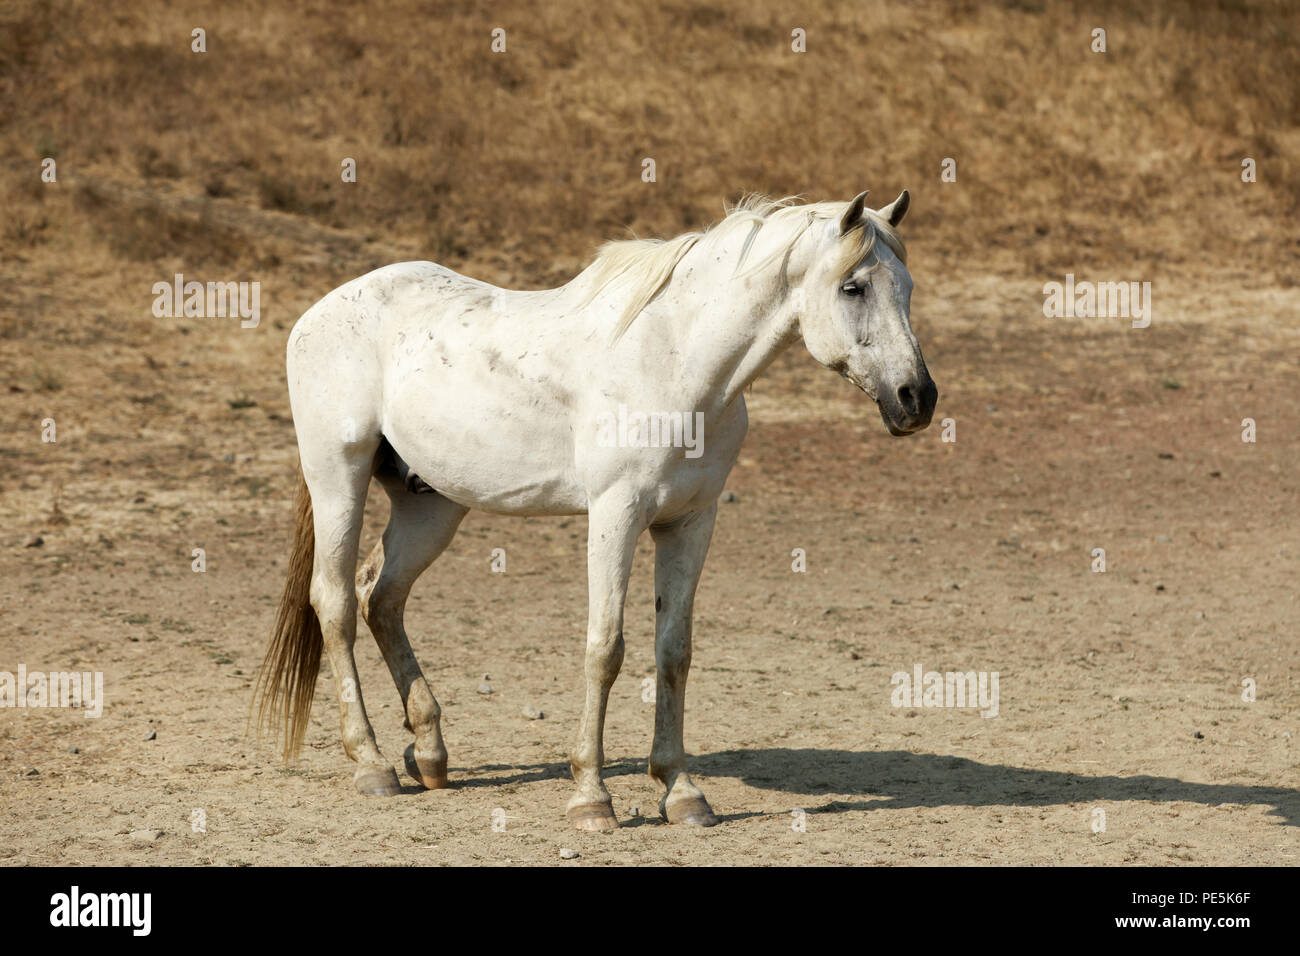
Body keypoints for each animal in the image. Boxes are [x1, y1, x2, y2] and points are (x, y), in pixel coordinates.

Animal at [254, 189, 938, 830]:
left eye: (905, 286)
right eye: (852, 286)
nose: (917, 399)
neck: (674, 363)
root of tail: (321, 310)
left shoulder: (691, 523)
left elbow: (674, 651)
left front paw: (681, 791)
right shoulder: (617, 515)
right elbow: (605, 648)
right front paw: (591, 796)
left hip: (432, 507)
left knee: (382, 596)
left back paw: (429, 754)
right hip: (338, 478)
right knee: (336, 603)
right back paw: (371, 764)